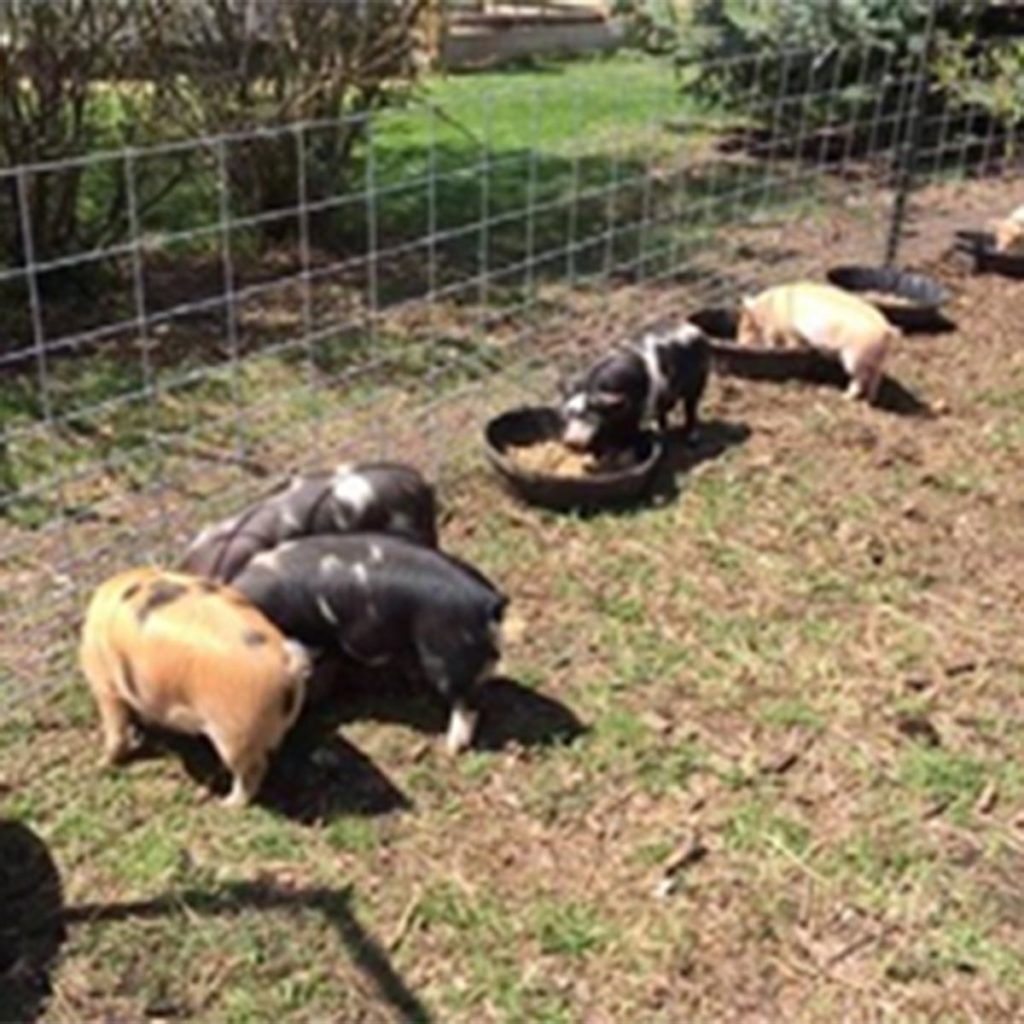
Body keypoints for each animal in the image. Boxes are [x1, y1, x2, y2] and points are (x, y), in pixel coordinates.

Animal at [78, 567, 311, 806]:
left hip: (236, 732)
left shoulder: (105, 685)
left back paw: (225, 804)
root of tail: (288, 662)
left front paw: (99, 763)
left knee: (253, 771)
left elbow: (115, 729)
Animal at [560, 322, 711, 453]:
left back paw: (692, 439)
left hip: (697, 385)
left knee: (691, 410)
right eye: (570, 413)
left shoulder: (637, 414)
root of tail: (695, 330)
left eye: (592, 414)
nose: (571, 442)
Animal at [737, 282, 898, 403]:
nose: (739, 343)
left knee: (861, 379)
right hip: (878, 360)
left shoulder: (789, 332)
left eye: (747, 326)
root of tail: (886, 330)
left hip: (855, 357)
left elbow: (786, 344)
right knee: (876, 377)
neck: (770, 308)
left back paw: (844, 397)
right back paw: (870, 400)